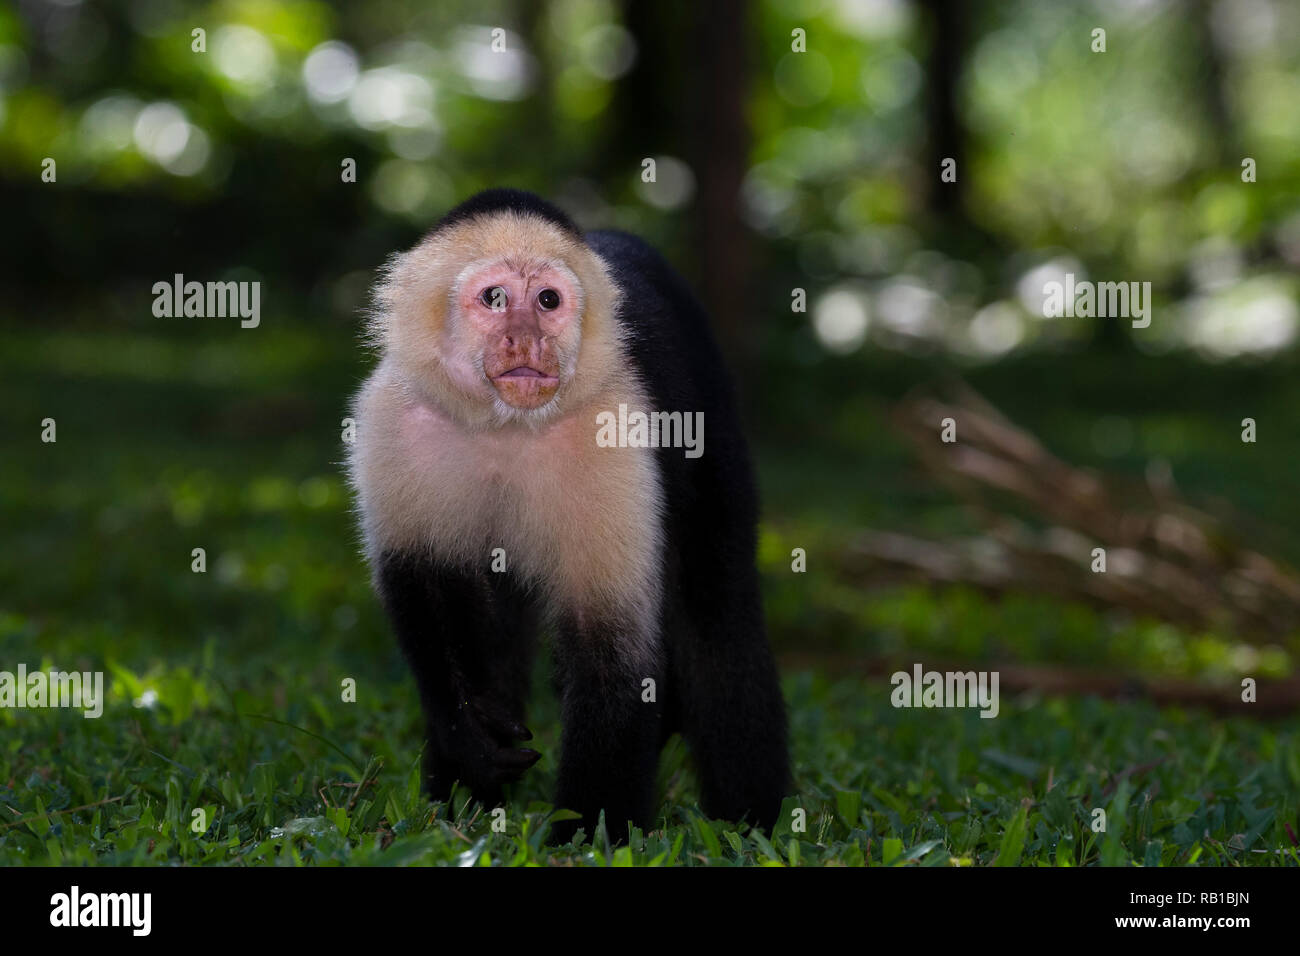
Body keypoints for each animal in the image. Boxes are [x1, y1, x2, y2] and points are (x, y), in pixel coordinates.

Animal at [346, 188, 789, 844]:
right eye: (495, 298)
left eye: (548, 301)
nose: (526, 341)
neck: (504, 423)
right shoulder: (392, 415)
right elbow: (423, 587)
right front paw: (468, 739)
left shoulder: (614, 428)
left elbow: (612, 649)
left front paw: (585, 837)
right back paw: (457, 809)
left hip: (713, 418)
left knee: (719, 615)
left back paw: (752, 822)